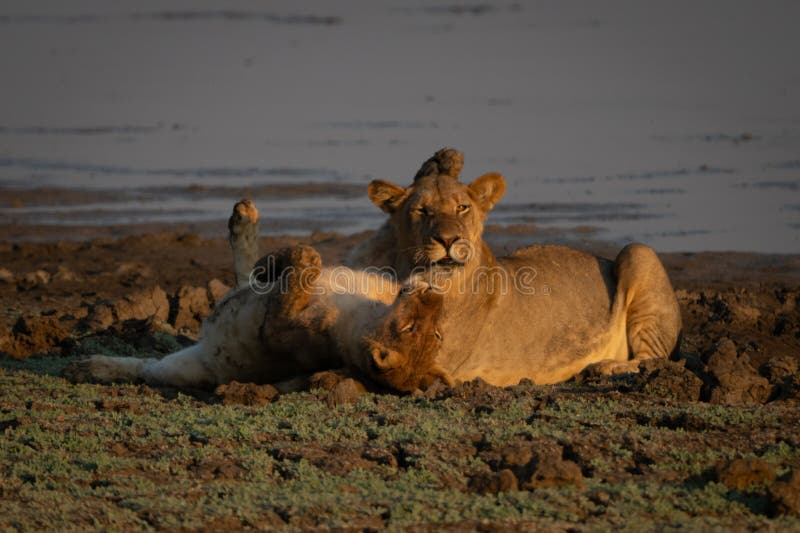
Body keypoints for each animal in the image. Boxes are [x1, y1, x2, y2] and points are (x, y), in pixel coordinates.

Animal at [344, 148, 683, 385]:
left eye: (462, 207)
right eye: (422, 210)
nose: (448, 239)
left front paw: (441, 162)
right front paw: (437, 165)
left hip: (638, 252)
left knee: (655, 360)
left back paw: (605, 367)